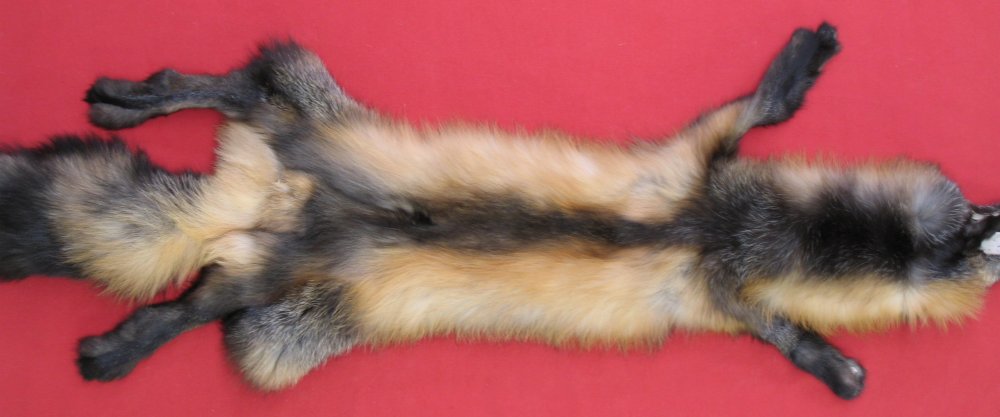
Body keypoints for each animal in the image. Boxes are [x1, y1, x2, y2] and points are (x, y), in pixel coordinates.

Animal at [0, 22, 997, 400]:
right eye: (973, 225)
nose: (994, 219)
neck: (716, 232)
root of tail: (254, 209)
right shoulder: (695, 164)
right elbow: (760, 106)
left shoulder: (716, 267)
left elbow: (781, 329)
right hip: (303, 121)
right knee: (235, 82)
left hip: (277, 312)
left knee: (203, 295)